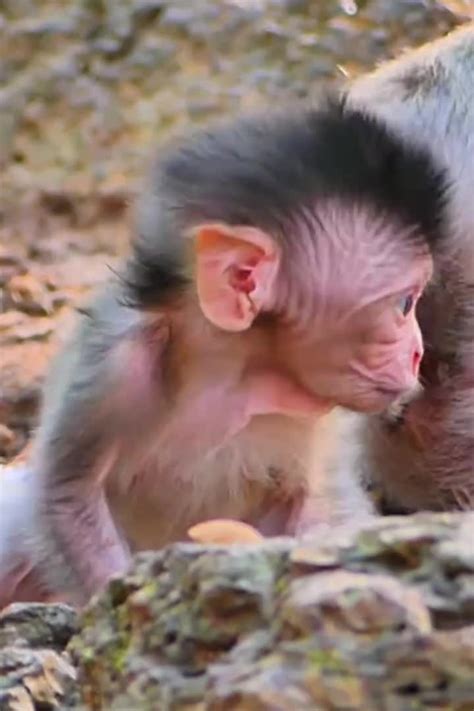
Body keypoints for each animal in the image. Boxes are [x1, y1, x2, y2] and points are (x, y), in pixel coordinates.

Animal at [0, 95, 447, 607]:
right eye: (404, 304)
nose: (417, 353)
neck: (234, 373)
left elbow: (305, 503)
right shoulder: (115, 369)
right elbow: (69, 493)